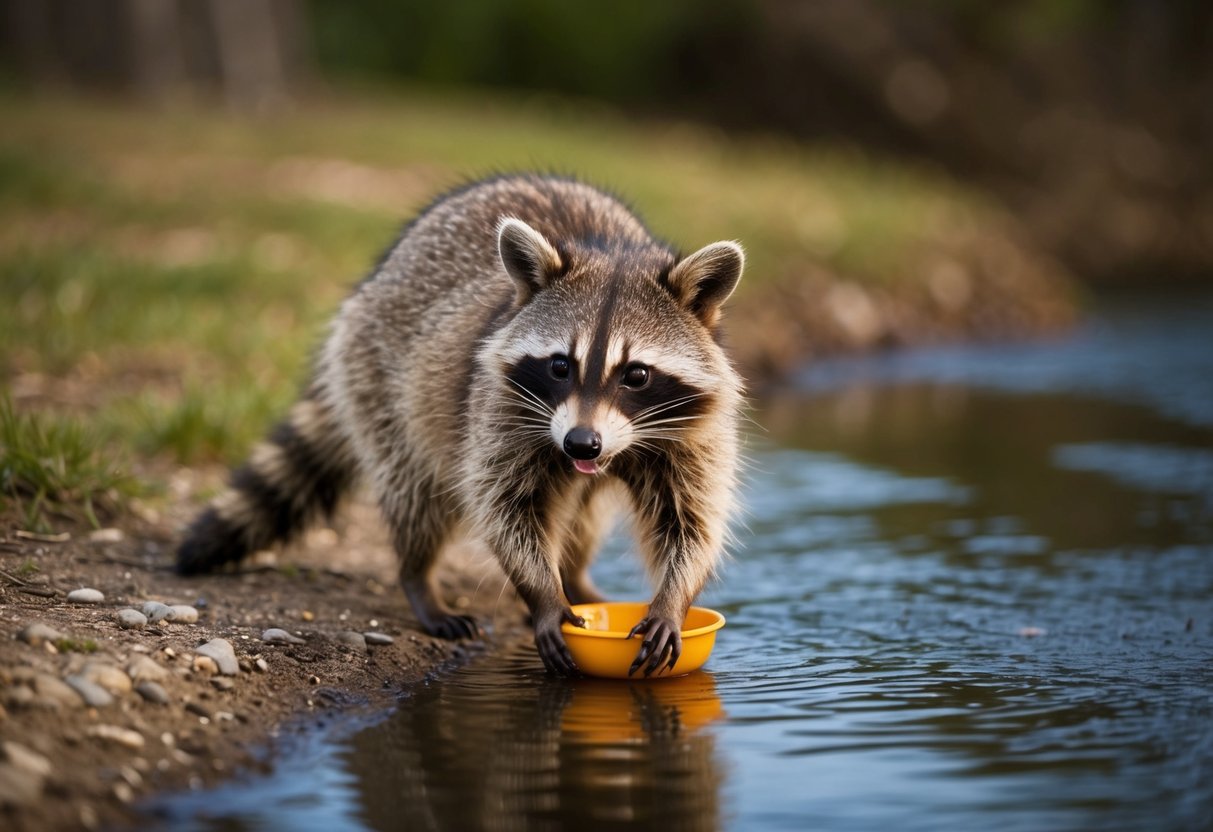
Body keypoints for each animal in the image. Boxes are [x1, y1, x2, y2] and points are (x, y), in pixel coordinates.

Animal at [177, 174, 744, 676]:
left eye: (637, 375)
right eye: (561, 366)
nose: (581, 444)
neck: (615, 253)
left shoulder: (695, 430)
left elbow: (690, 518)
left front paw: (672, 598)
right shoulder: (497, 406)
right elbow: (504, 506)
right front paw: (542, 594)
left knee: (584, 512)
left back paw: (576, 575)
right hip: (378, 380)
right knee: (415, 492)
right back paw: (419, 575)